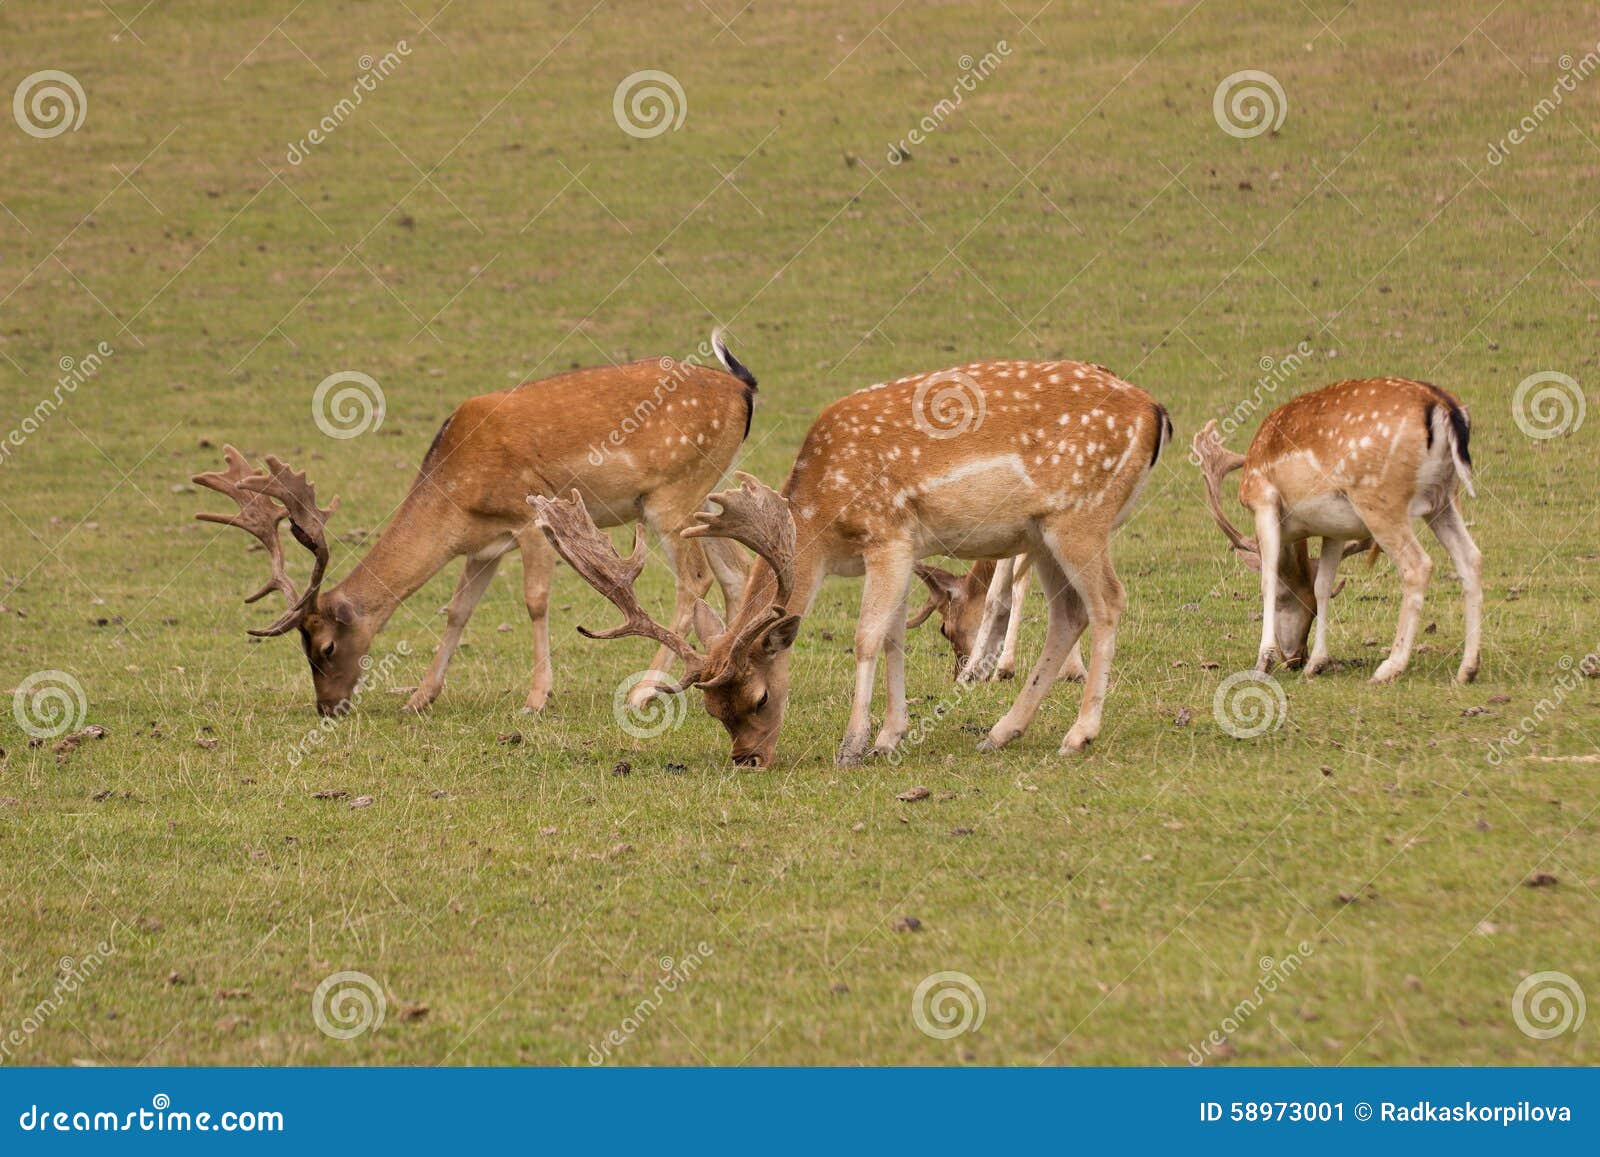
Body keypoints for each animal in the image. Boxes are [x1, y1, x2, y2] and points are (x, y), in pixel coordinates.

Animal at [194, 330, 756, 717]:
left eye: (326, 647)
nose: (327, 707)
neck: (457, 498)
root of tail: (743, 387)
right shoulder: (483, 546)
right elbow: (458, 610)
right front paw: (419, 697)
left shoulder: (531, 518)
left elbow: (535, 602)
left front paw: (535, 698)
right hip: (707, 494)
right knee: (738, 571)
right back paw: (727, 673)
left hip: (671, 496)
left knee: (697, 580)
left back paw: (643, 691)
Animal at [531, 359, 1172, 767]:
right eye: (712, 710)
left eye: (759, 698)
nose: (747, 759)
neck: (821, 519)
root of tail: (1155, 411)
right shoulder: (902, 549)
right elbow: (893, 637)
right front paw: (891, 737)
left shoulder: (887, 535)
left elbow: (866, 637)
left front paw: (854, 744)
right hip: (1040, 535)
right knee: (1069, 614)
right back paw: (1001, 733)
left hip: (1079, 517)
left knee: (1108, 602)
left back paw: (1079, 734)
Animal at [1191, 377, 1481, 684]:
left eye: (1287, 597)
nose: (1294, 658)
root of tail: (1443, 405)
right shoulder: (1333, 530)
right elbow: (1323, 585)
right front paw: (1317, 663)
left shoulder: (1263, 501)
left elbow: (1267, 580)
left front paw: (1262, 663)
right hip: (1444, 498)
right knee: (1471, 558)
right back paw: (1467, 669)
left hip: (1380, 500)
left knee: (1418, 565)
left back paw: (1389, 667)